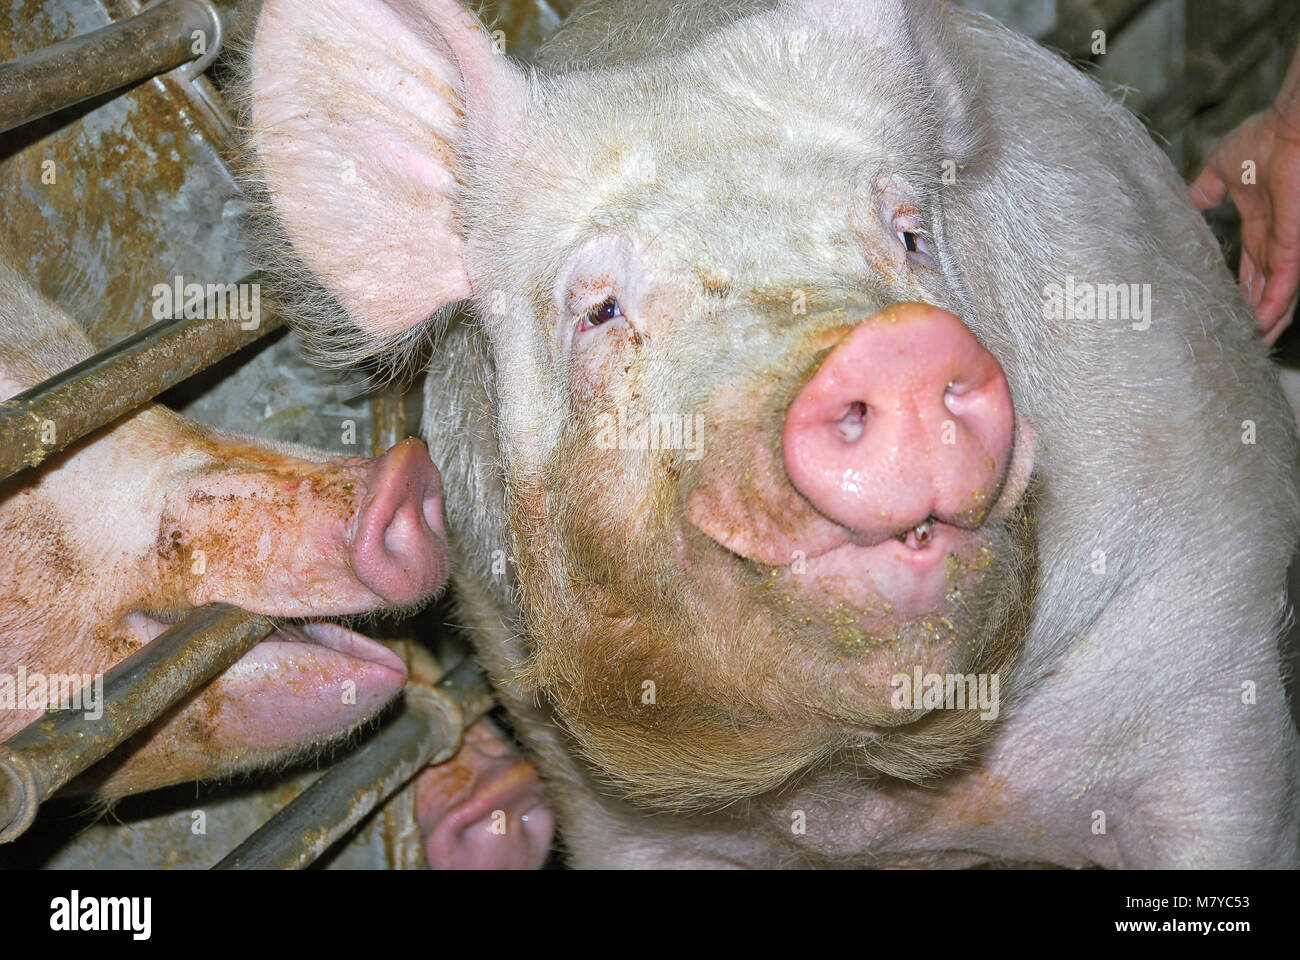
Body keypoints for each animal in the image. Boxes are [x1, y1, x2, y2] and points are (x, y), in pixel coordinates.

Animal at [246, 0, 1300, 868]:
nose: (893, 348)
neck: (851, 796)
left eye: (910, 235)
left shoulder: (1214, 665)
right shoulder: (611, 812)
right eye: (600, 310)